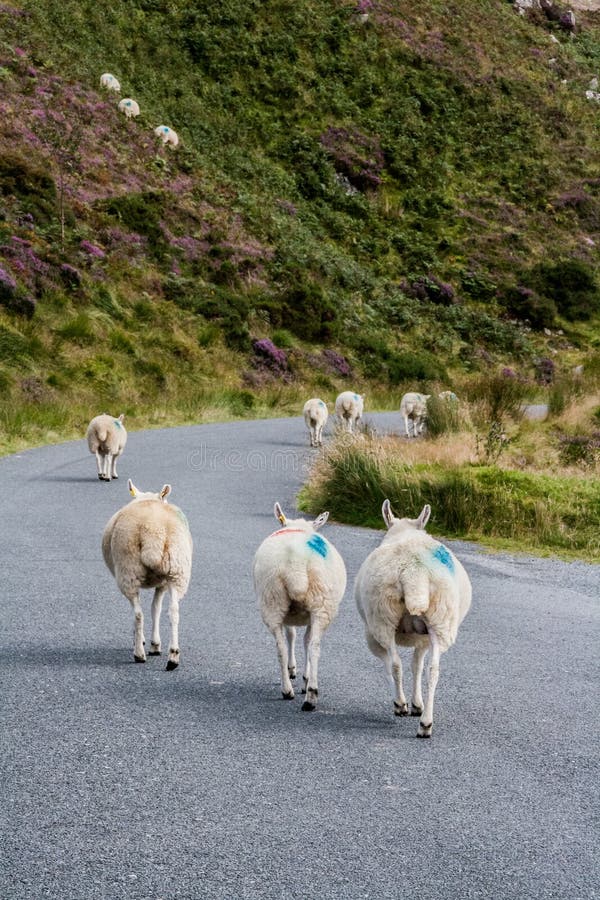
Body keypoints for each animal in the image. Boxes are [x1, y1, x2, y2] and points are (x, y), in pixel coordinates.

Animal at [102, 479, 193, 669]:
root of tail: (153, 530)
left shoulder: (160, 583)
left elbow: (153, 609)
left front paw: (150, 643)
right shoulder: (163, 582)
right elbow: (156, 608)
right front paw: (155, 644)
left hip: (127, 570)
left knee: (138, 614)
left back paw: (139, 653)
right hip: (177, 571)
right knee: (174, 610)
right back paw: (173, 657)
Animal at [253, 502, 347, 711]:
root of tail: (295, 565)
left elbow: (293, 636)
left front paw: (294, 671)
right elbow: (300, 638)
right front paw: (300, 674)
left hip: (274, 600)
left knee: (282, 647)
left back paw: (293, 691)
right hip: (320, 603)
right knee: (313, 645)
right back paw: (306, 692)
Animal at [354, 499, 471, 738]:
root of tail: (413, 572)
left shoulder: (374, 635)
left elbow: (393, 664)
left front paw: (406, 704)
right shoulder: (423, 638)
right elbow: (418, 665)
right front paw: (418, 704)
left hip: (382, 617)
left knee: (395, 663)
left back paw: (400, 704)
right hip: (439, 620)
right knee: (433, 670)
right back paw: (426, 723)